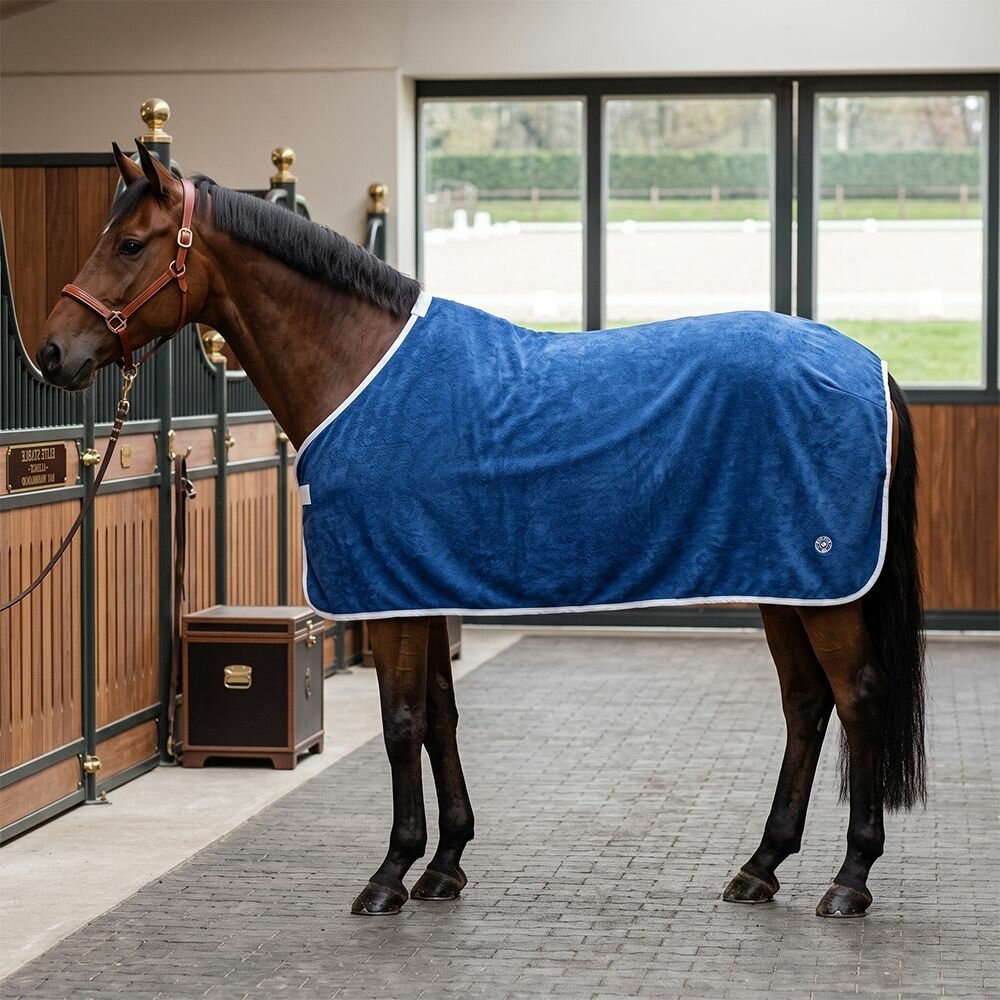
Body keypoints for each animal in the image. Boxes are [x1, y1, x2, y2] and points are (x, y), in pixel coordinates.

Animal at [35, 142, 925, 920]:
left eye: (131, 243)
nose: (50, 352)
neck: (359, 368)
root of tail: (869, 363)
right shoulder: (418, 582)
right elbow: (438, 714)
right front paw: (445, 865)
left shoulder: (390, 589)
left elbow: (400, 724)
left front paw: (389, 876)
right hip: (786, 581)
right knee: (806, 704)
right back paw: (761, 866)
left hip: (824, 584)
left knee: (857, 697)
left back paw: (849, 880)